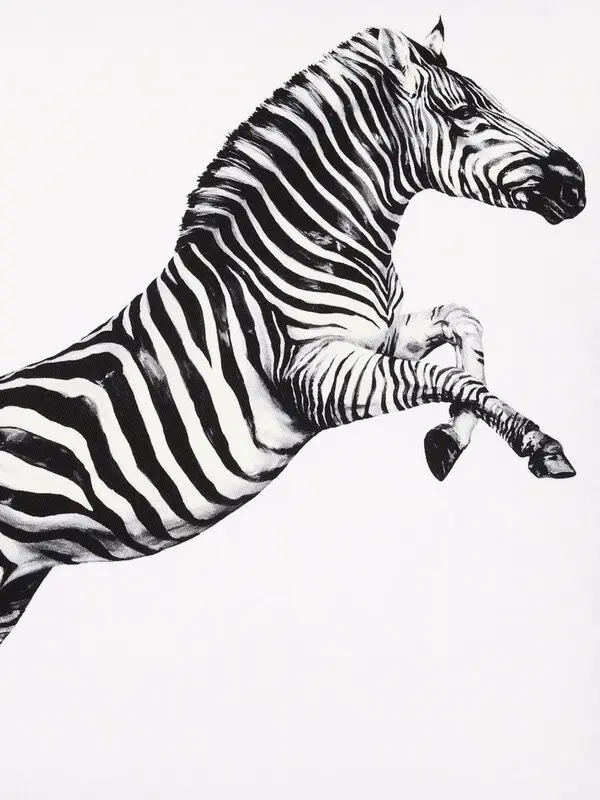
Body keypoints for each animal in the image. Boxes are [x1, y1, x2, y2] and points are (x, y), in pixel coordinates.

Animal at [0, 19, 585, 646]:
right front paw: (536, 444)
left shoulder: (384, 334)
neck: (316, 241)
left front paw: (450, 439)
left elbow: (465, 324)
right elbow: (443, 375)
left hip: (16, 582)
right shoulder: (315, 378)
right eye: (462, 112)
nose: (577, 182)